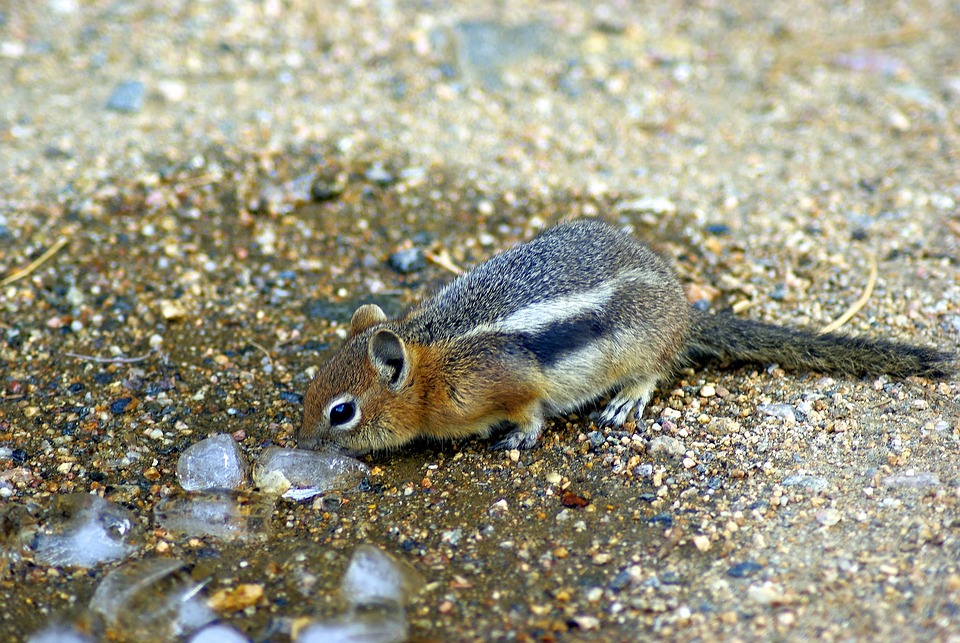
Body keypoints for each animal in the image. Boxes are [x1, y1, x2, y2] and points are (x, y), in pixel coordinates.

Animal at [297, 219, 954, 453]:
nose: (300, 443)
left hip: (638, 347)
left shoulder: (505, 382)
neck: (432, 367)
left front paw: (519, 436)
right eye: (308, 391)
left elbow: (529, 409)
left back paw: (627, 399)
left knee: (657, 369)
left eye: (341, 412)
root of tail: (683, 311)